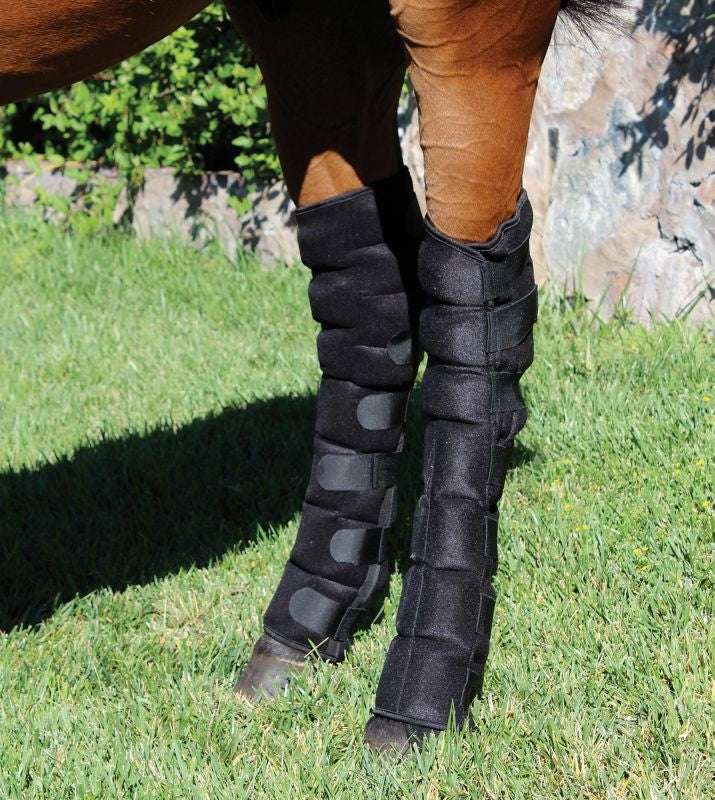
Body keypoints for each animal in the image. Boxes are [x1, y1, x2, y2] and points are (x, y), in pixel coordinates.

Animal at [0, 0, 626, 753]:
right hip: (313, 34)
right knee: (366, 284)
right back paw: (303, 631)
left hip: (467, 37)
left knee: (469, 308)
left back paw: (417, 696)